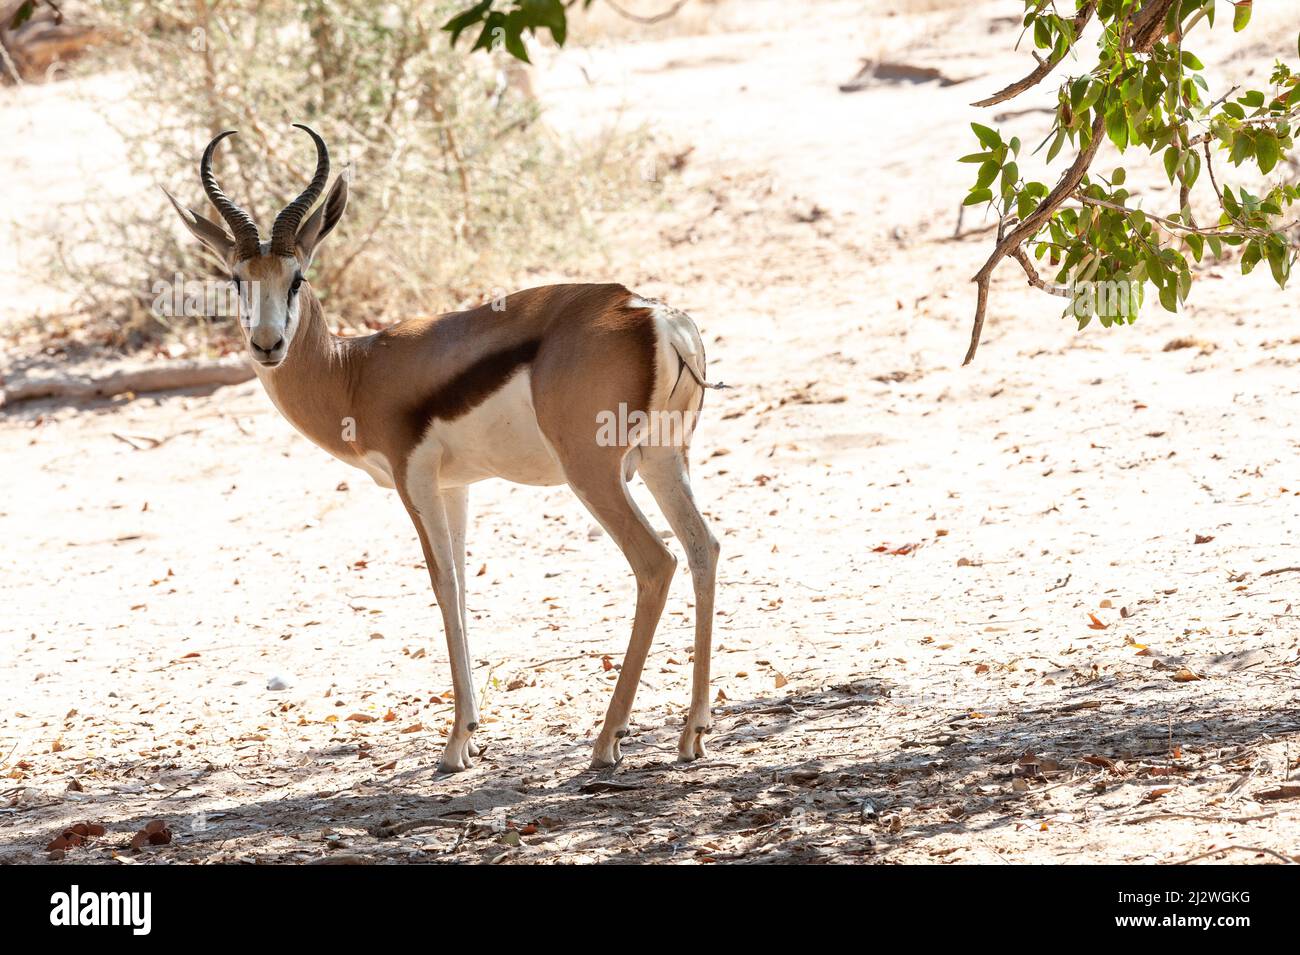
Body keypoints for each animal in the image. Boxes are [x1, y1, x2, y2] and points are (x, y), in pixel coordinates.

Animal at [164, 125, 720, 772]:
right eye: (237, 279)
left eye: (296, 277)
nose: (267, 344)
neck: (354, 371)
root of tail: (651, 315)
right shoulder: (456, 487)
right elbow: (462, 581)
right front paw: (472, 731)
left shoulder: (415, 481)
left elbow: (442, 584)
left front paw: (455, 744)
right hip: (663, 460)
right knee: (703, 547)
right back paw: (692, 733)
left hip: (596, 473)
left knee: (655, 561)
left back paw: (607, 741)